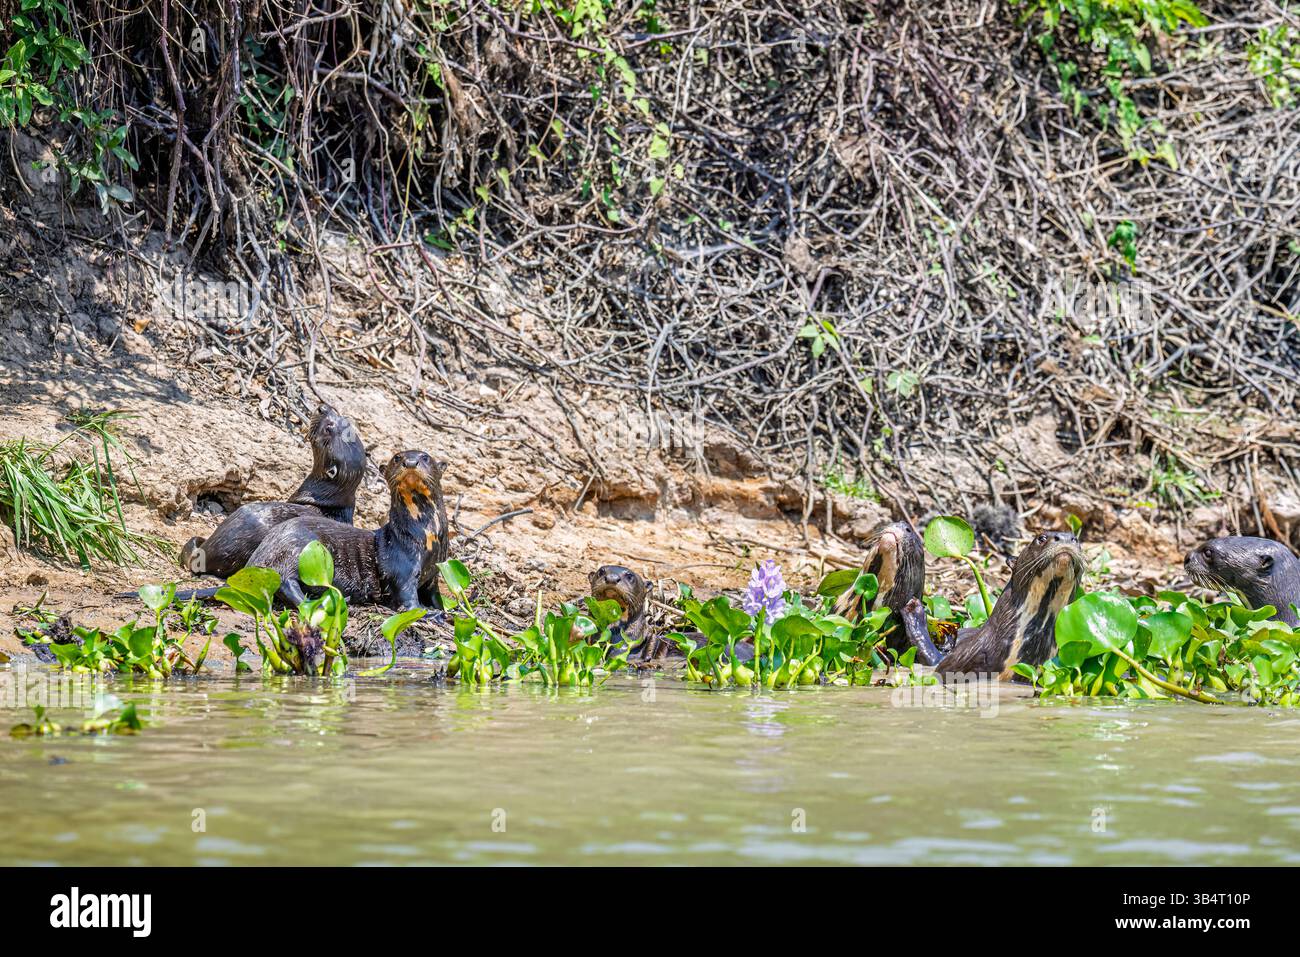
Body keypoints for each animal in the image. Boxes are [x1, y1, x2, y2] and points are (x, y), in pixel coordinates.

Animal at [245, 451, 448, 612]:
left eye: (425, 457)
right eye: (397, 457)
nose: (411, 463)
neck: (427, 537)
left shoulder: (434, 573)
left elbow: (435, 596)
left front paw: (444, 610)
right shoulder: (402, 565)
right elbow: (405, 594)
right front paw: (427, 613)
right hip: (298, 548)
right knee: (284, 580)